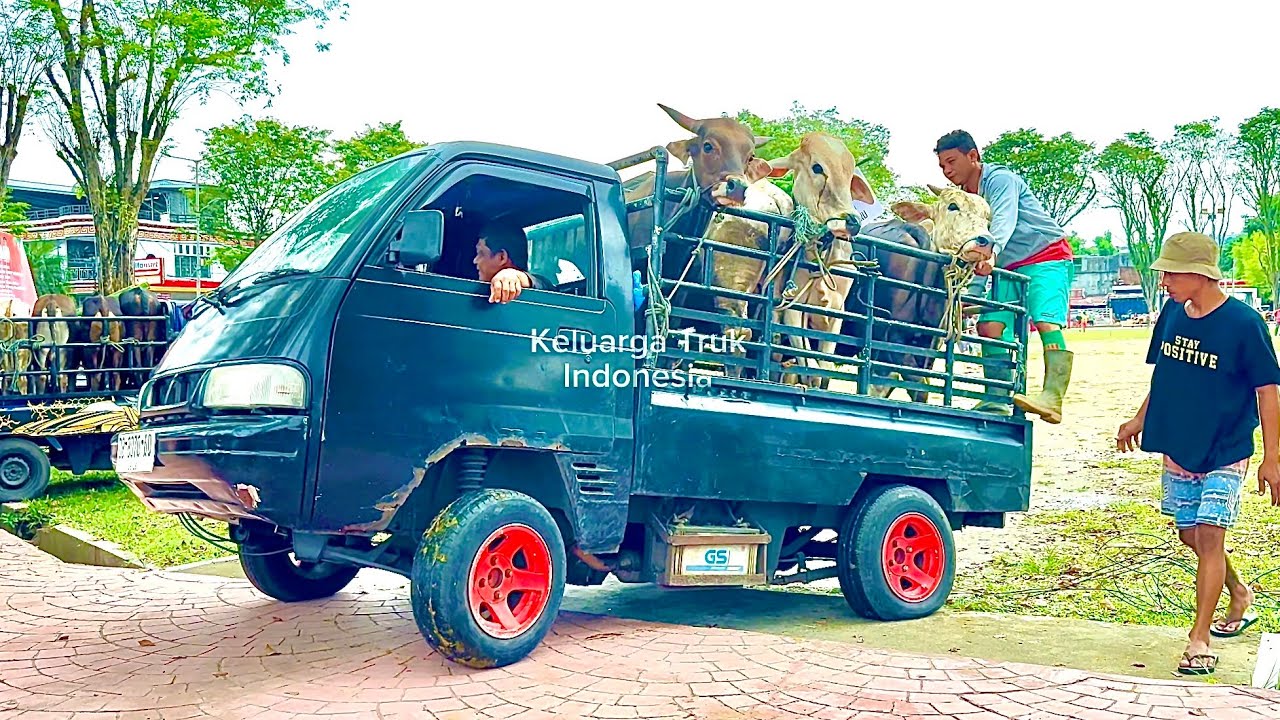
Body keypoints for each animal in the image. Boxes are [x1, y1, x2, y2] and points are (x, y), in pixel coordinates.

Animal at [762, 133, 877, 387]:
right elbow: (808, 364)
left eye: (849, 176)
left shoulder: (836, 314)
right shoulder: (792, 310)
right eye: (817, 168)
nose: (853, 221)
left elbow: (823, 367)